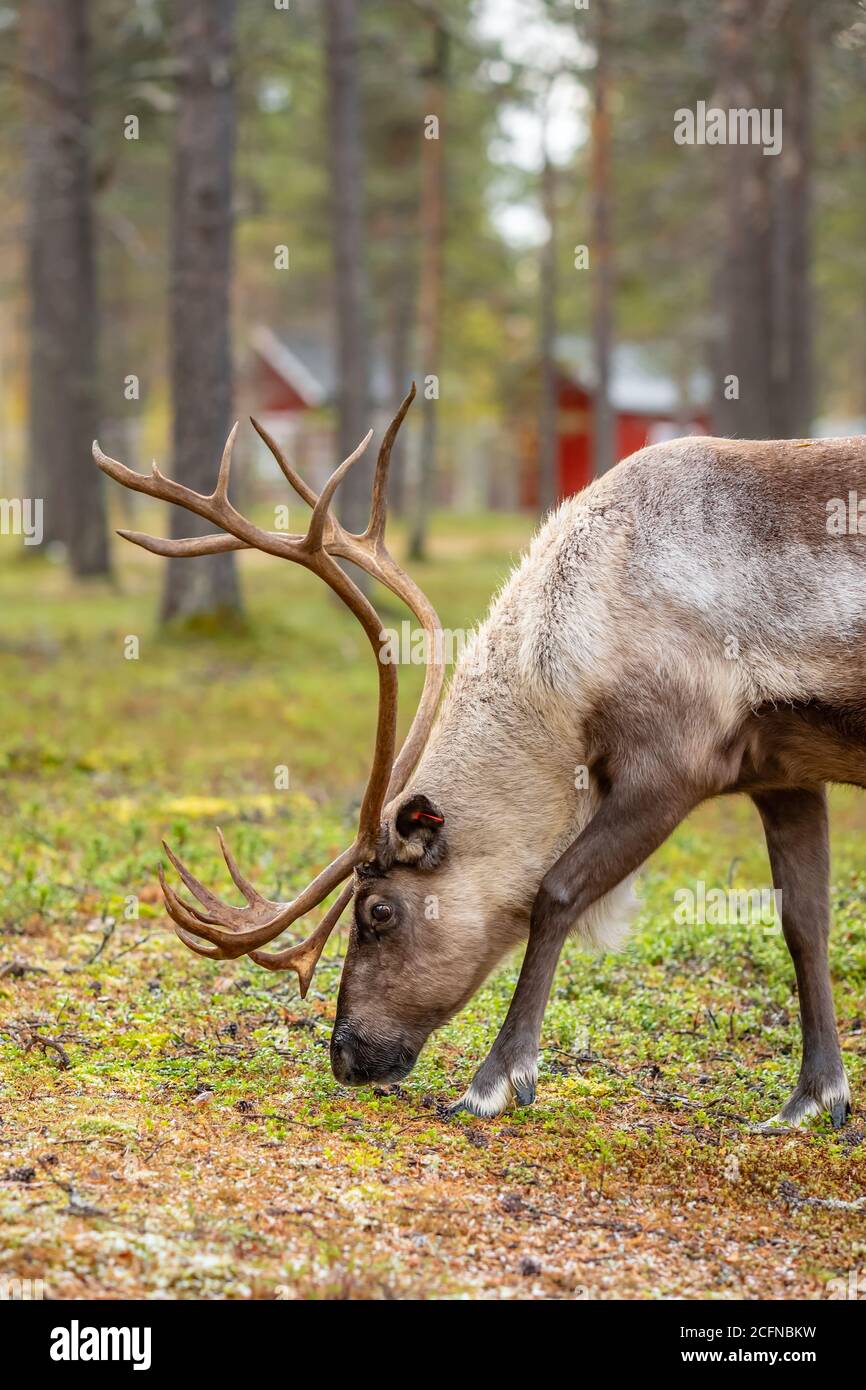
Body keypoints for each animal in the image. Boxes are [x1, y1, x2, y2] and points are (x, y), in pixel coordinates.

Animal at [93, 391, 865, 1130]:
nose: (344, 1055)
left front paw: (493, 1082)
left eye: (378, 911)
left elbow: (554, 893)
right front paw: (813, 1098)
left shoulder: (675, 764)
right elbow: (805, 923)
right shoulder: (784, 772)